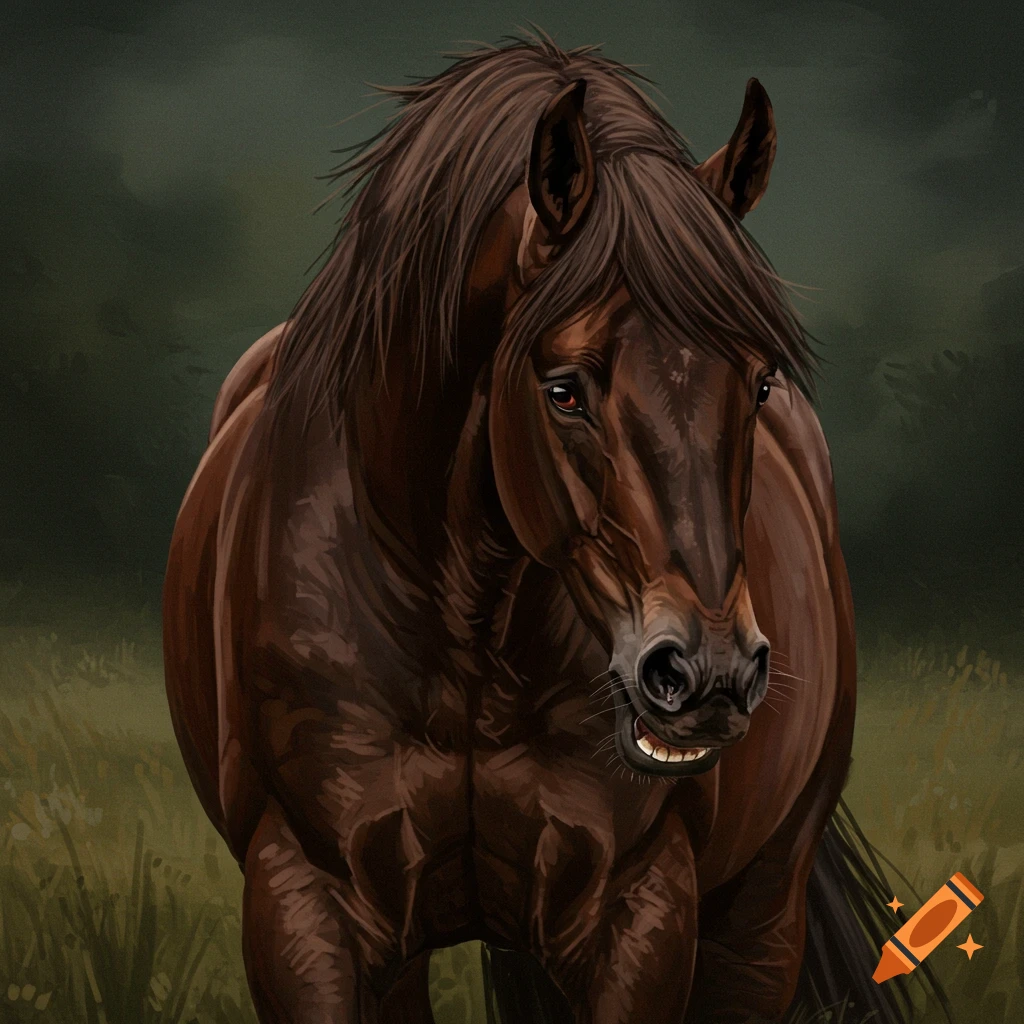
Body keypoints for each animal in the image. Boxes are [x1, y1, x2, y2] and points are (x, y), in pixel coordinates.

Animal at [163, 34, 919, 1024]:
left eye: (759, 383)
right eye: (563, 389)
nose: (707, 673)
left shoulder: (639, 916)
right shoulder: (306, 906)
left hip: (762, 912)